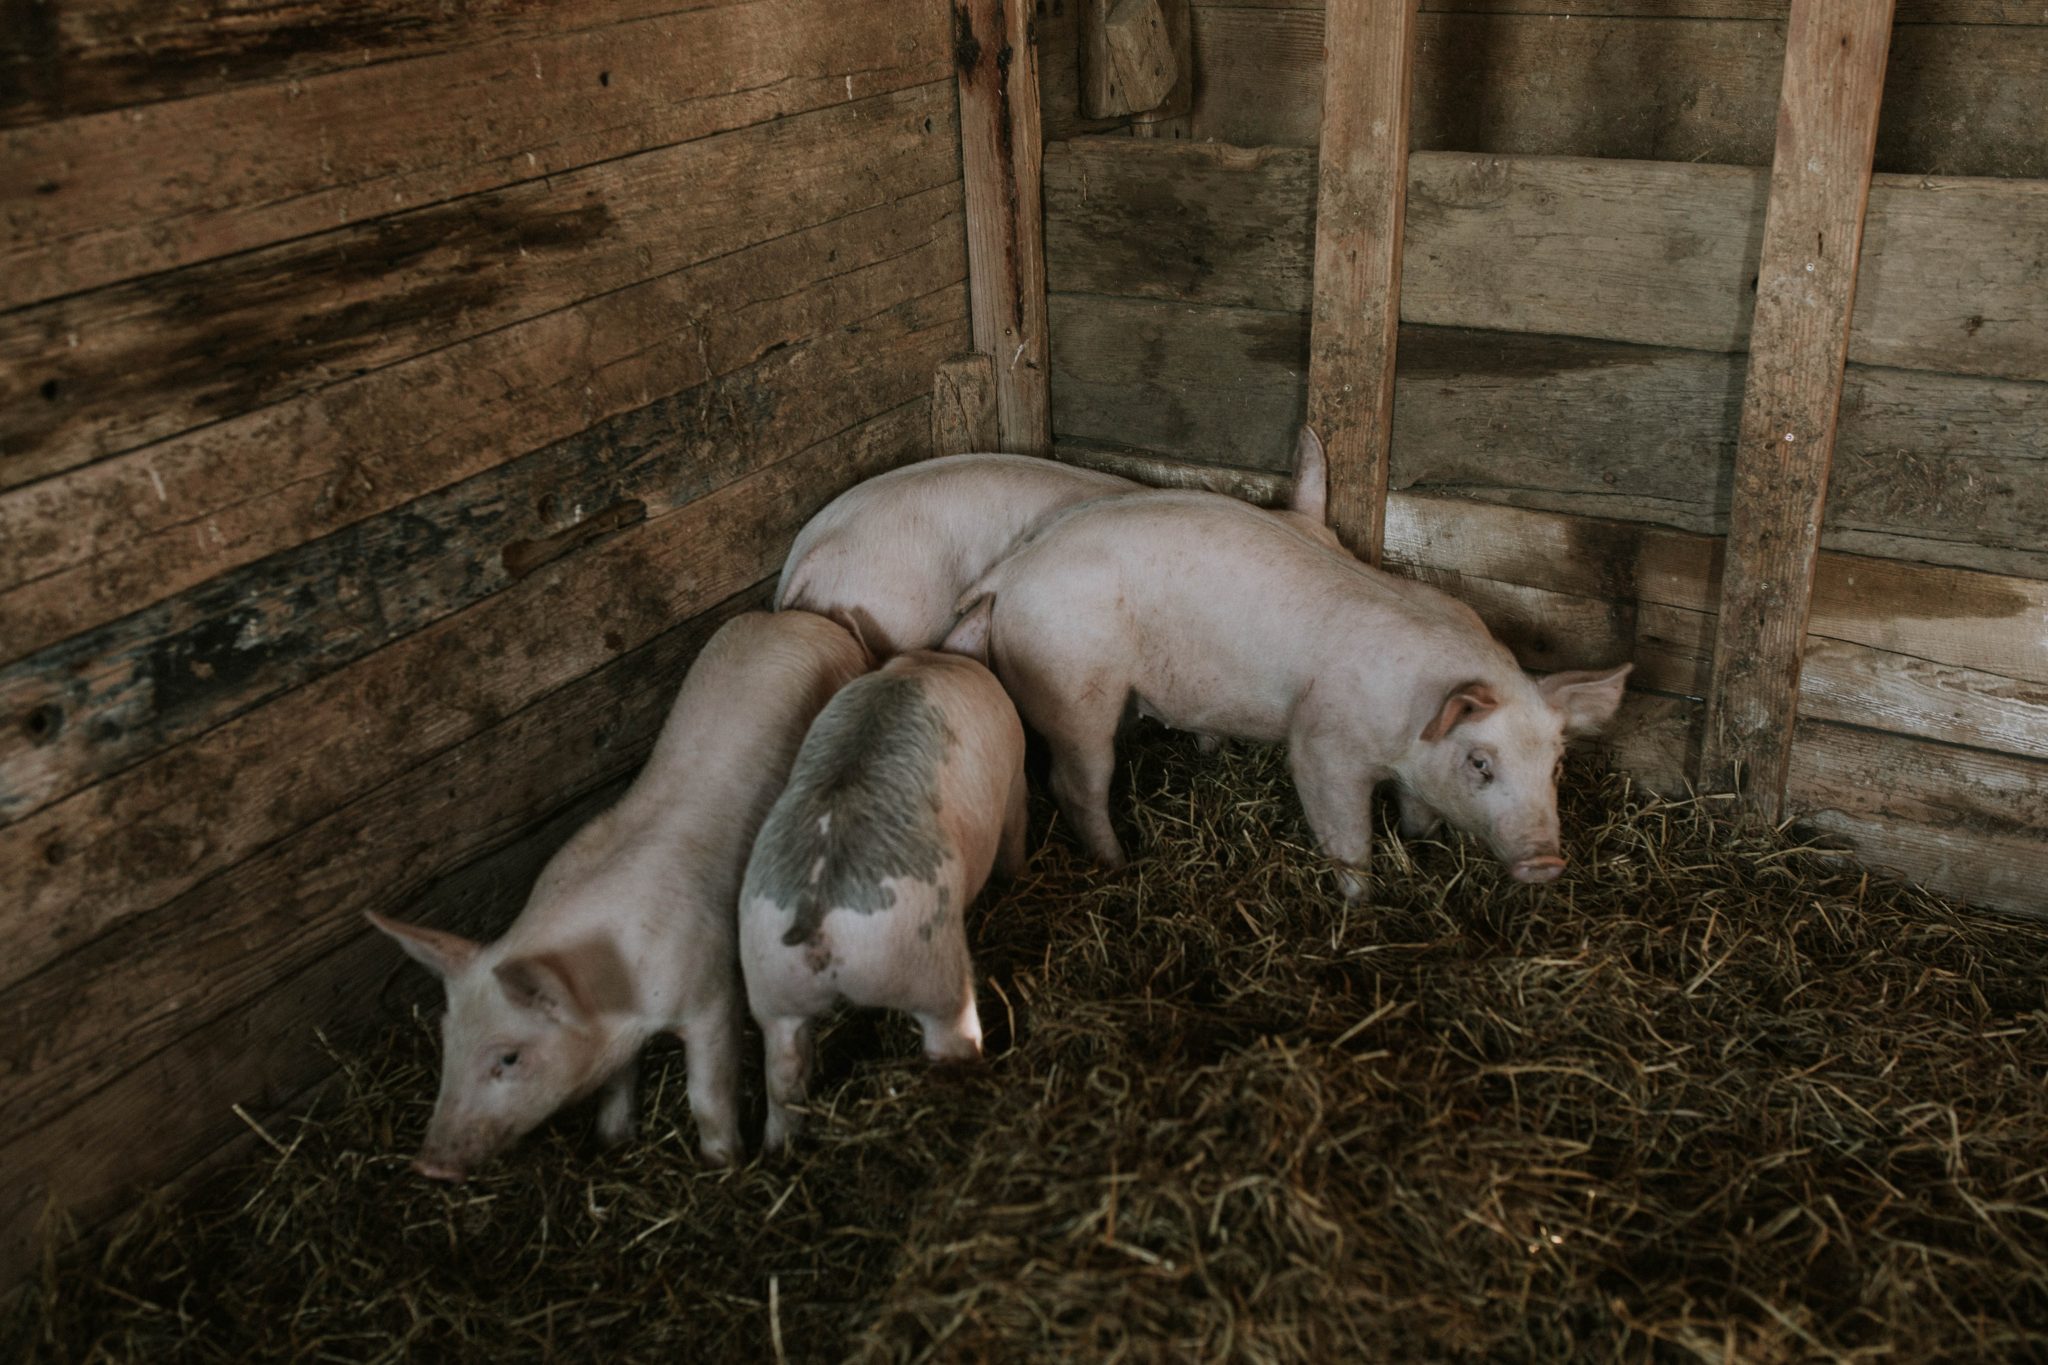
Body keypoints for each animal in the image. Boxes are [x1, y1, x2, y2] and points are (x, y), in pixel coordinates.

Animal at [366, 610, 869, 1179]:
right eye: (446, 1041)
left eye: (510, 1057)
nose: (429, 1166)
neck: (616, 985)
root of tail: (804, 619)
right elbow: (614, 1084)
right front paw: (612, 1144)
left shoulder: (711, 995)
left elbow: (707, 1095)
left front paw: (721, 1165)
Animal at [739, 650, 1027, 1152]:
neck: (921, 664)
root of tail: (817, 905)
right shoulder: (1014, 775)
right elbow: (1015, 835)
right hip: (929, 965)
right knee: (950, 1039)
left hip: (770, 984)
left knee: (785, 1074)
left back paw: (779, 1148)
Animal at [943, 490, 1630, 896]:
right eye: (1481, 762)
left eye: (1557, 766)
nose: (1546, 862)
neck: (1412, 720)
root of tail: (1012, 571)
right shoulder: (1323, 745)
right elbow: (1345, 833)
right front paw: (1361, 904)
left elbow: (1418, 811)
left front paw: (1419, 846)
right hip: (1075, 687)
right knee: (1074, 783)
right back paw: (1120, 865)